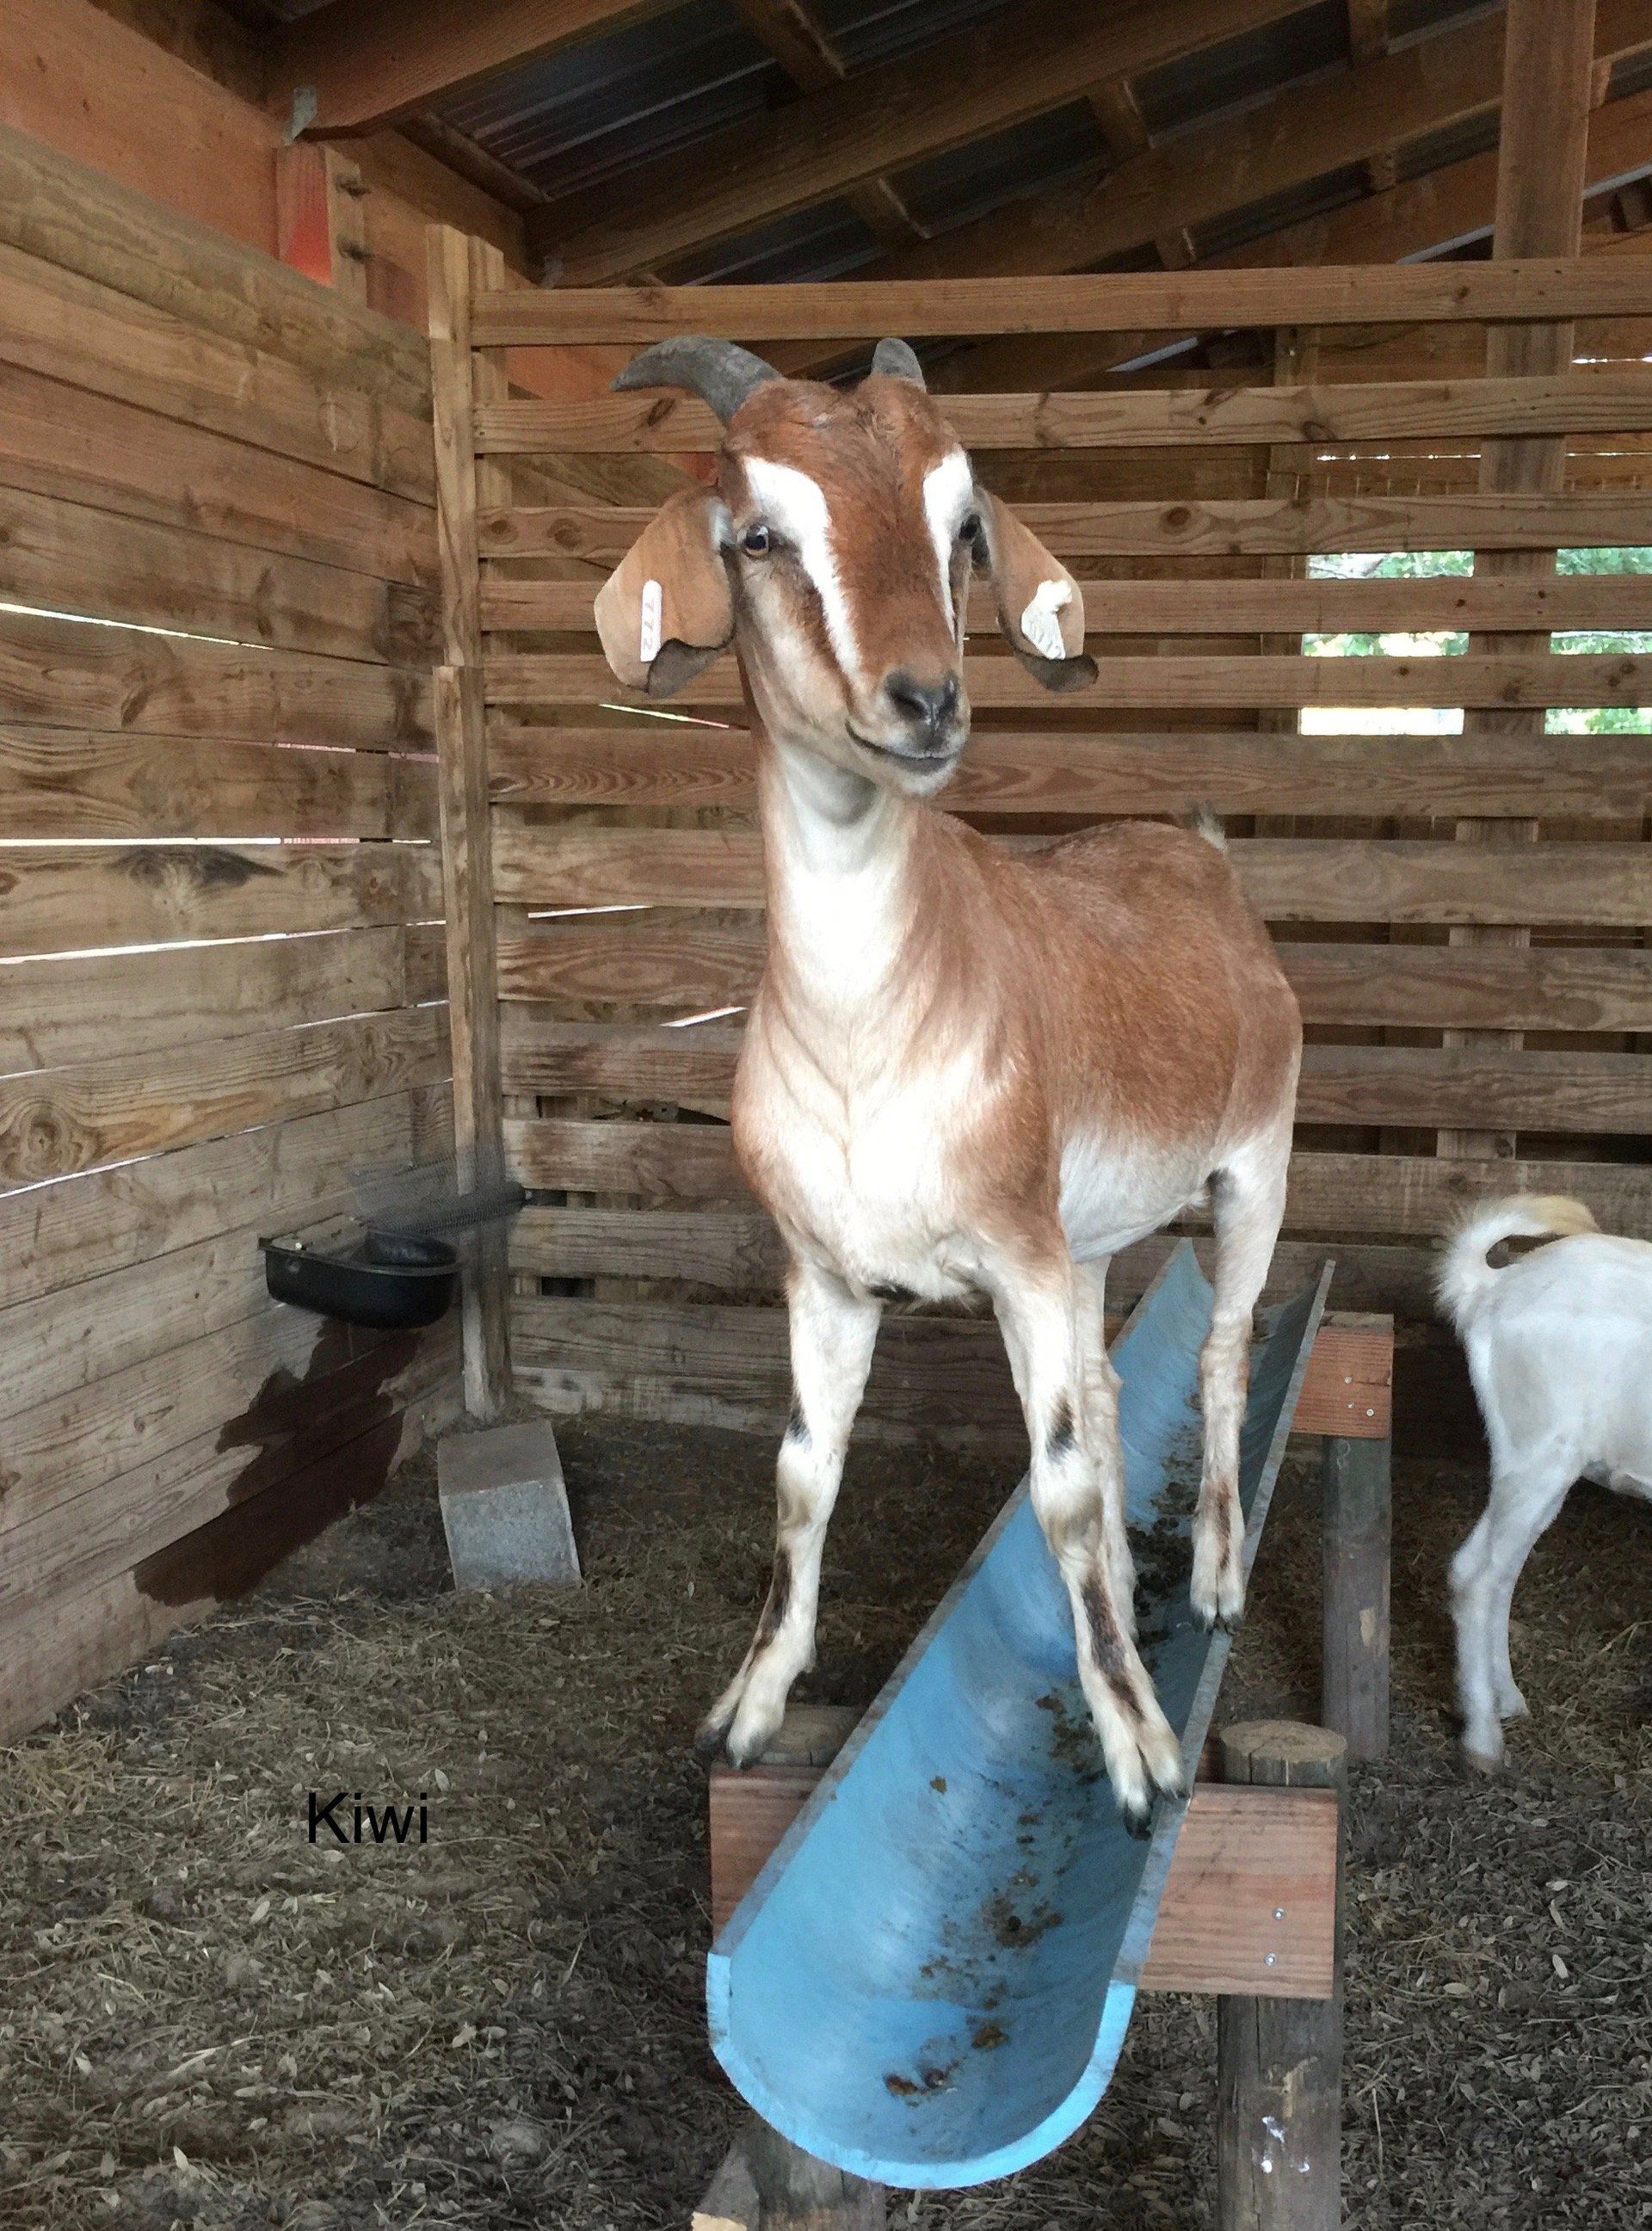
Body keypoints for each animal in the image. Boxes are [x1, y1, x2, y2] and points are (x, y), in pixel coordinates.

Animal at [594, 336, 1302, 1828]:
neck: (872, 1040)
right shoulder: (827, 1272)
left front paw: (1141, 1749)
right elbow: (803, 1475)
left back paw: (1215, 1578)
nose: (926, 702)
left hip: (1255, 1164)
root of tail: (1203, 853)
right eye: (759, 533)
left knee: (1220, 1354)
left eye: (961, 525)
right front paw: (749, 1703)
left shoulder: (1018, 1257)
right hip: (1089, 1236)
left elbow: (1066, 1490)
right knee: (1110, 1384)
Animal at [1439, 1195, 1652, 1770]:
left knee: (1500, 1570)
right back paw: (1484, 1741)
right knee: (1476, 1574)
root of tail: (1492, 1288)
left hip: (1535, 1459)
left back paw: (1506, 1699)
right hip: (1540, 1449)